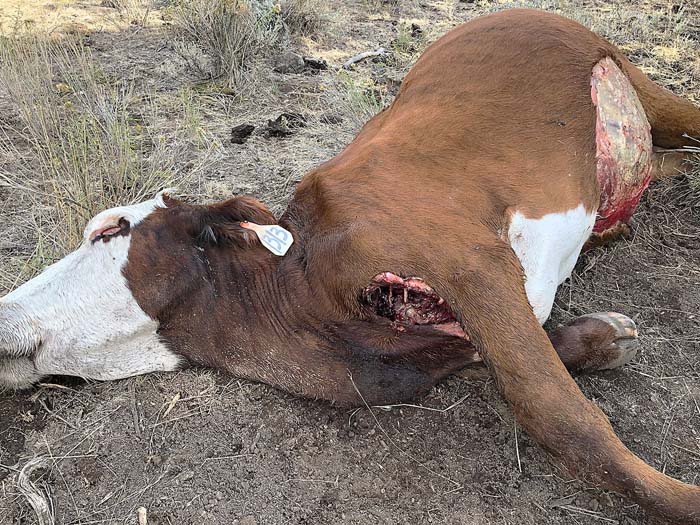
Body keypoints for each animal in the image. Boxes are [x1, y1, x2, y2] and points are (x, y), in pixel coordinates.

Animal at [1, 9, 699, 523]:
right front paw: (602, 337)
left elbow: (553, 410)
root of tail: (509, 12)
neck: (301, 294)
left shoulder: (469, 260)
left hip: (636, 77)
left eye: (110, 229)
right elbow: (517, 367)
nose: (5, 309)